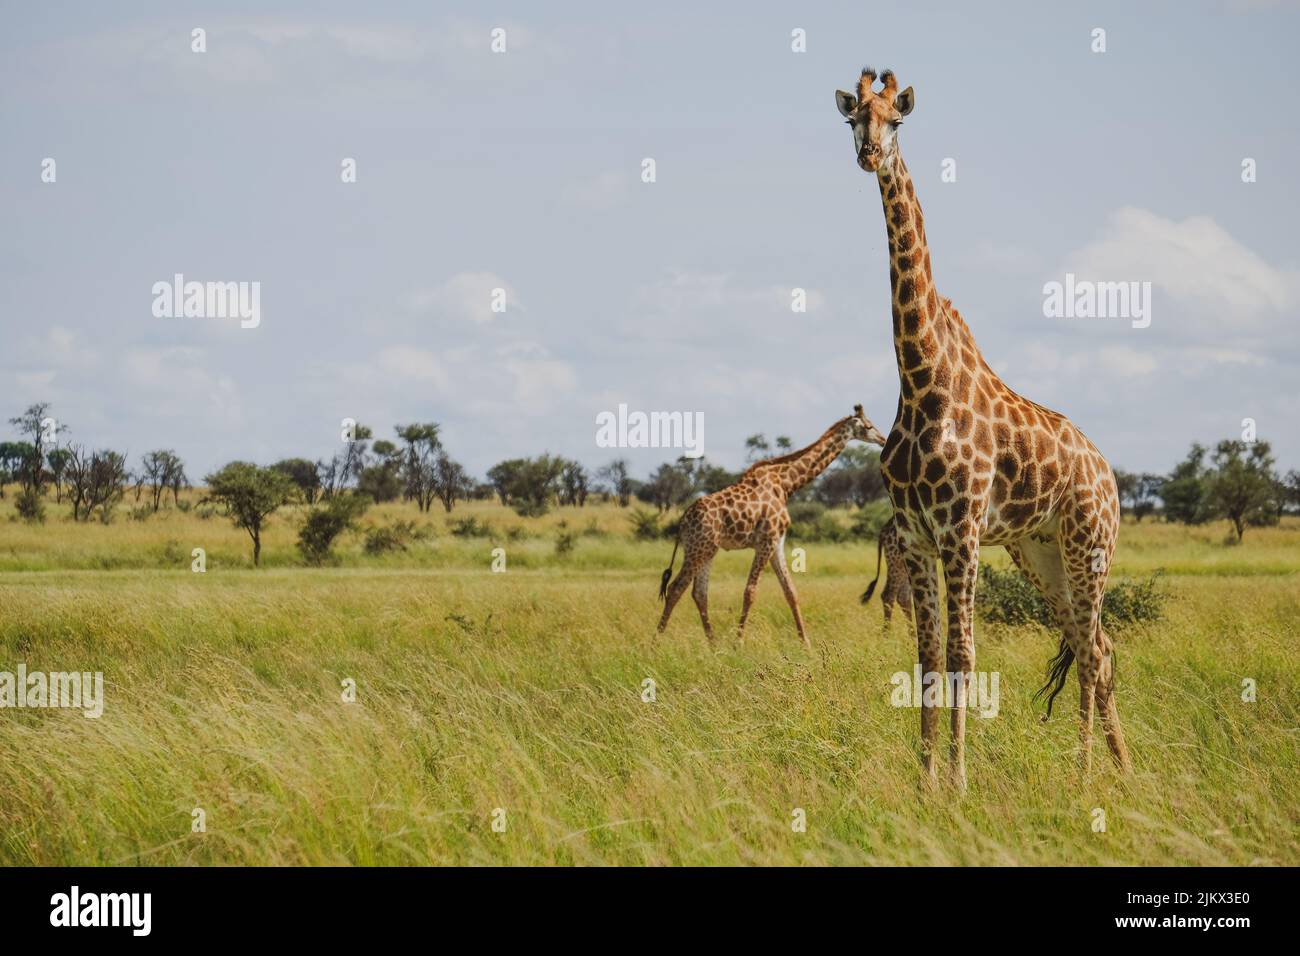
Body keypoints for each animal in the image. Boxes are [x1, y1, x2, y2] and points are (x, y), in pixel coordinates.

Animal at [657, 405, 887, 647]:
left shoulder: (777, 542)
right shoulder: (766, 541)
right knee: (675, 588)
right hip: (698, 548)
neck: (787, 484)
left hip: (708, 550)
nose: (883, 439)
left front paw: (806, 644)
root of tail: (683, 521)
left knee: (699, 593)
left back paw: (713, 645)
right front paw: (738, 643)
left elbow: (790, 591)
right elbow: (750, 592)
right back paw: (655, 643)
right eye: (868, 426)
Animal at [834, 68, 1131, 788]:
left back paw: (1091, 773)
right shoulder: (915, 535)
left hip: (1090, 545)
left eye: (897, 119)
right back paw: (1116, 770)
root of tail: (1108, 474)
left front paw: (960, 783)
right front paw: (924, 781)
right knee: (1095, 644)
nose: (870, 154)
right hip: (1040, 551)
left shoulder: (961, 532)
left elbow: (965, 656)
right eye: (853, 117)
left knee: (1095, 648)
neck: (921, 379)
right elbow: (926, 659)